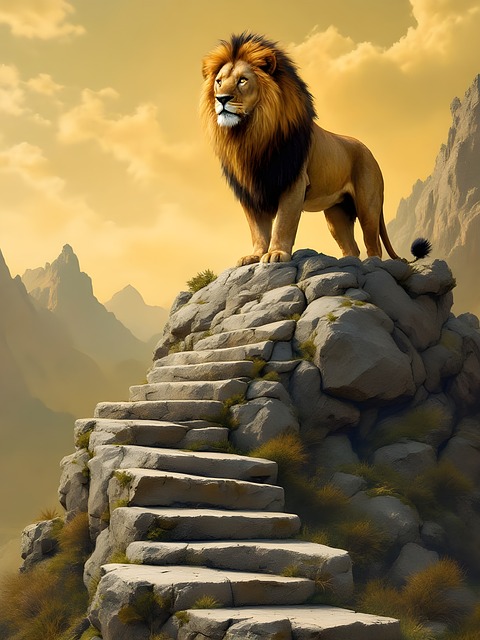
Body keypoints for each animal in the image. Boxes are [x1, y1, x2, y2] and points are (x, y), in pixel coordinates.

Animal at [201, 32, 430, 266]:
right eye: (219, 82)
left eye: (242, 80)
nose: (221, 99)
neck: (249, 135)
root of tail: (369, 150)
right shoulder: (250, 190)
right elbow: (257, 229)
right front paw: (255, 255)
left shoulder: (294, 183)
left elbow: (283, 222)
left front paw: (276, 253)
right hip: (337, 213)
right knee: (352, 247)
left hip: (368, 205)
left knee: (373, 244)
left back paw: (371, 263)